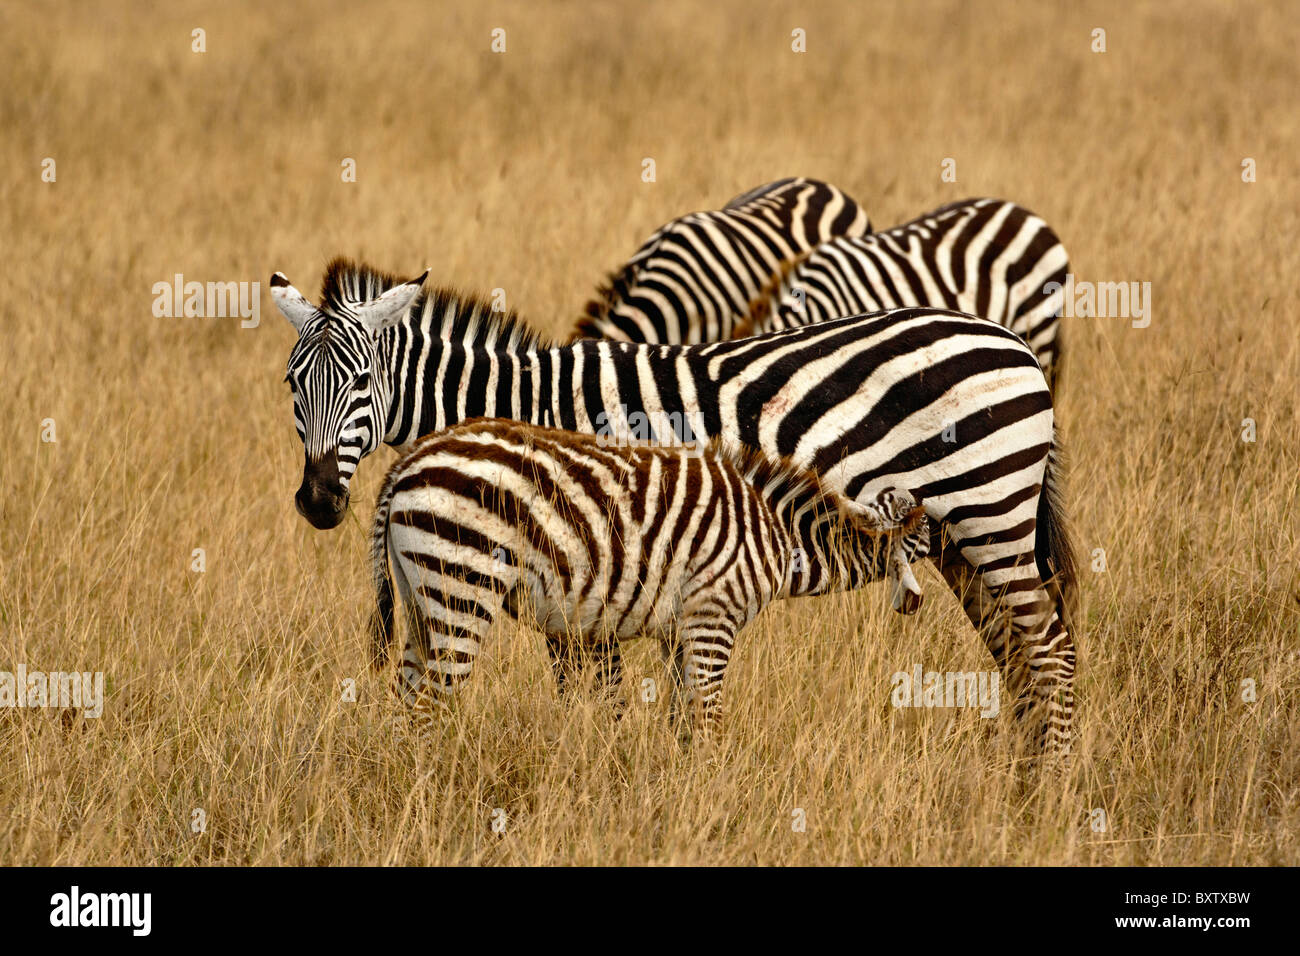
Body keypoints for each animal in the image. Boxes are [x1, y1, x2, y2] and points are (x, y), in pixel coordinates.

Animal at [368, 418, 931, 733]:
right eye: (930, 545)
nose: (917, 605)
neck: (774, 535)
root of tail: (409, 460)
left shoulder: (679, 633)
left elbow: (682, 719)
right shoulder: (712, 619)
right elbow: (708, 720)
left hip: (421, 597)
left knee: (404, 708)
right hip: (462, 585)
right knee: (430, 708)